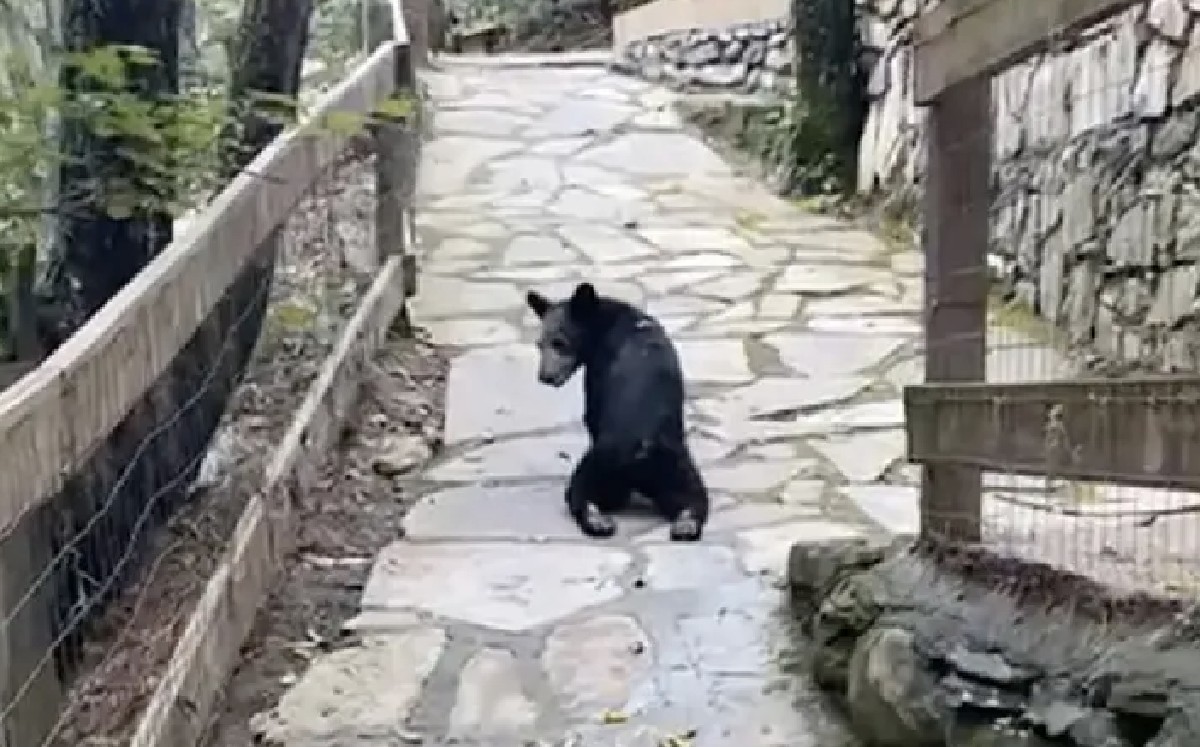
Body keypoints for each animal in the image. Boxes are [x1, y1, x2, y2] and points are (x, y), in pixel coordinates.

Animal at [525, 282, 709, 542]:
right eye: (539, 345)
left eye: (560, 343)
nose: (545, 377)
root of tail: (641, 450)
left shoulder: (597, 372)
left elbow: (591, 413)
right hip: (677, 464)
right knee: (695, 496)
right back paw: (686, 524)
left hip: (602, 461)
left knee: (579, 490)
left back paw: (596, 520)